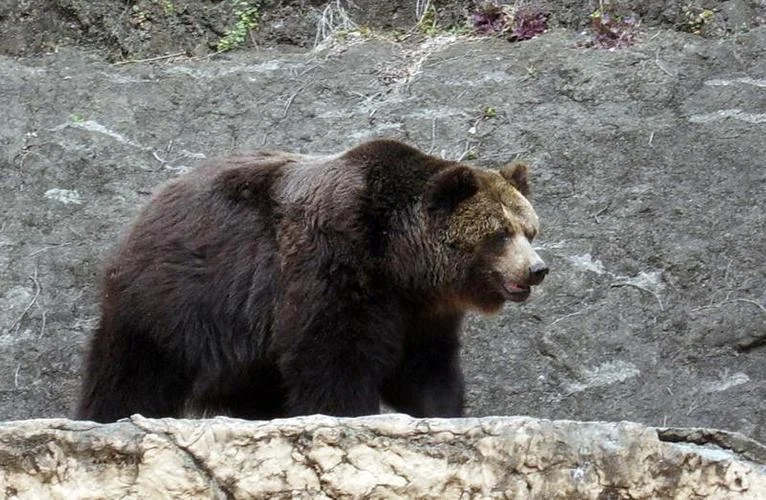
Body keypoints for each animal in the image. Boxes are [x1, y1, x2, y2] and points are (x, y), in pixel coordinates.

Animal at [76, 139, 548, 422]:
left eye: (530, 230)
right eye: (500, 234)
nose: (537, 269)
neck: (400, 262)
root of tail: (150, 205)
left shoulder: (421, 313)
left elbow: (426, 370)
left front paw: (444, 411)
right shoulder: (335, 264)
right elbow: (332, 357)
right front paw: (348, 413)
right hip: (179, 296)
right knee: (135, 368)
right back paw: (109, 414)